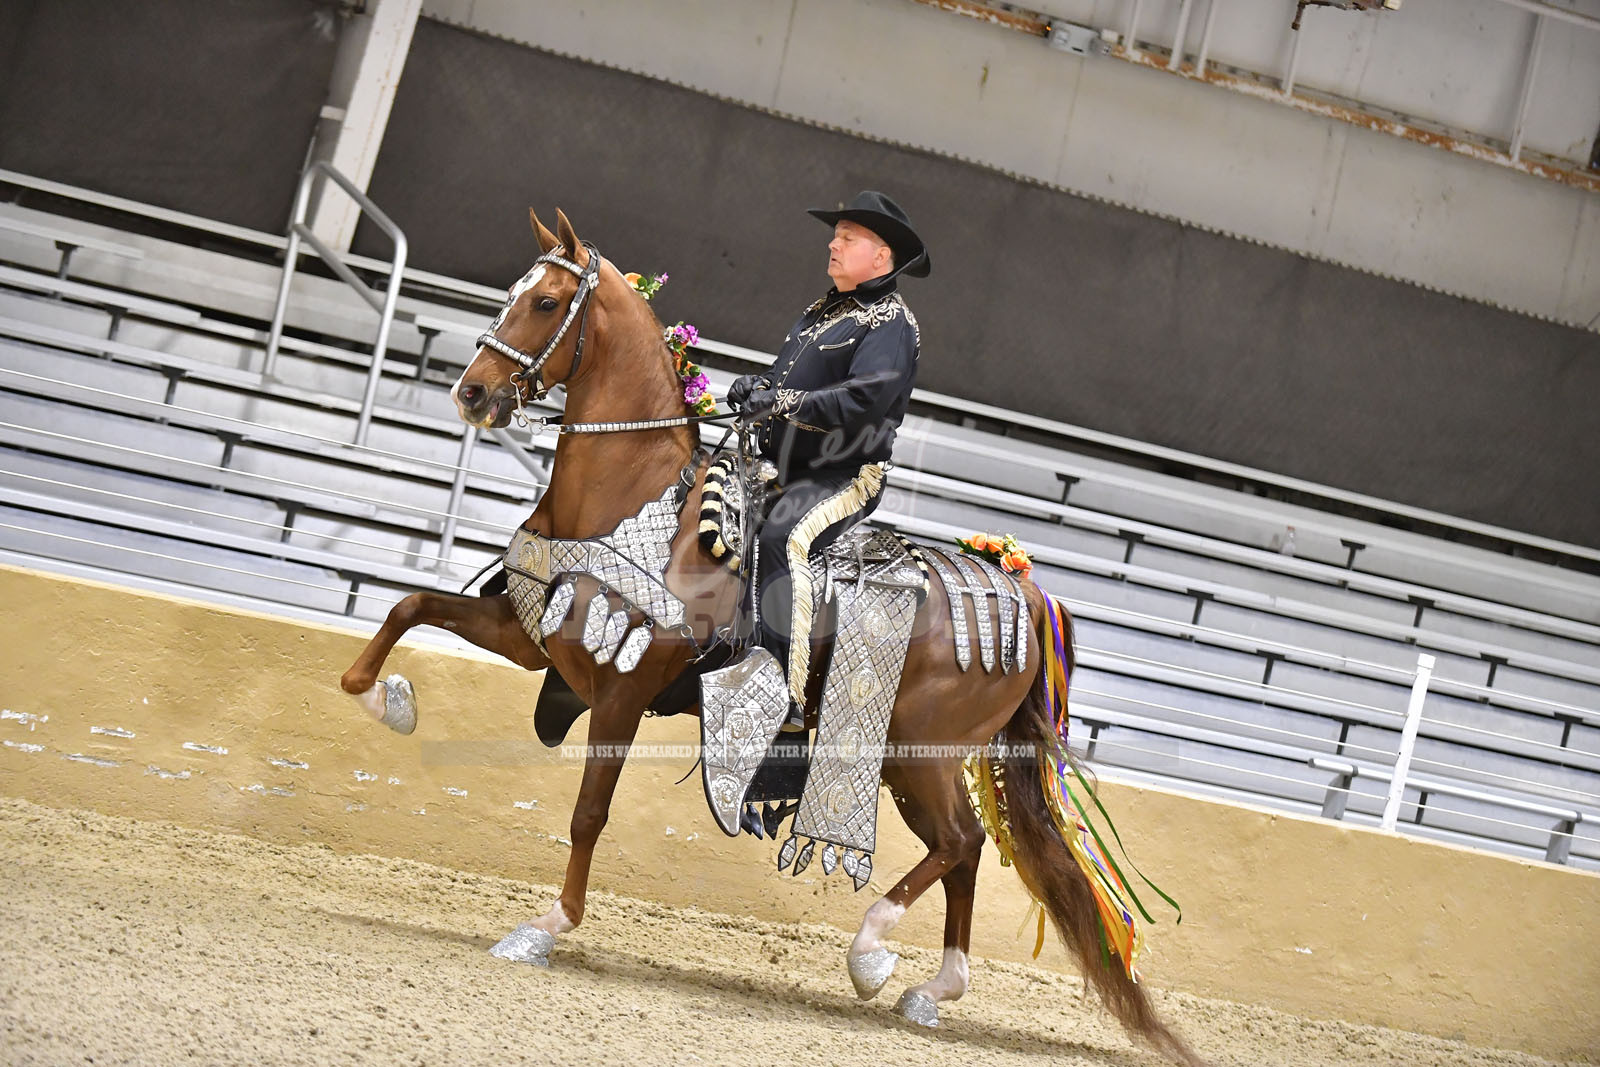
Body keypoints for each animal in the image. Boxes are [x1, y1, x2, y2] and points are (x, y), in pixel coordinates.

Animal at [338, 208, 1201, 1065]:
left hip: (914, 751)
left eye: (547, 302)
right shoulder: (536, 638)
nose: (474, 392)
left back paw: (871, 952)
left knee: (957, 842)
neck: (637, 499)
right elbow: (407, 608)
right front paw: (385, 698)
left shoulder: (622, 690)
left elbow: (589, 812)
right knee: (965, 852)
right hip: (910, 761)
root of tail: (1016, 586)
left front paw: (545, 927)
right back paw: (932, 988)